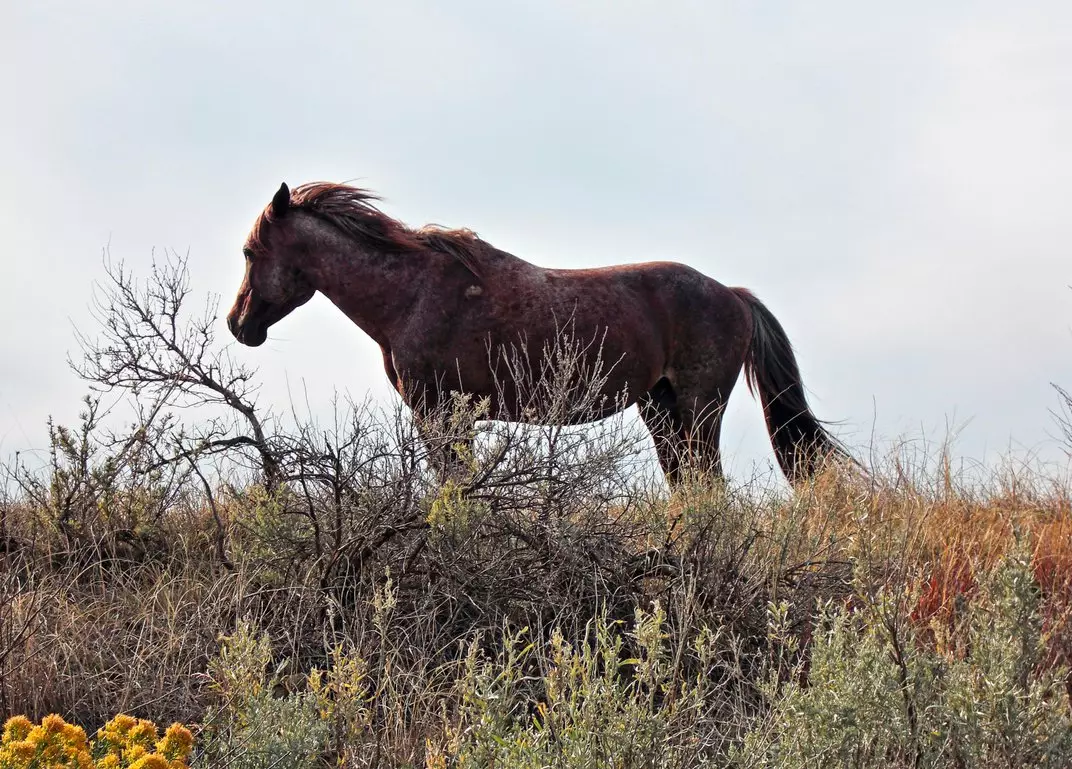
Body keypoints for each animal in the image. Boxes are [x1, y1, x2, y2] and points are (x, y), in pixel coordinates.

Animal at [226, 180, 844, 482]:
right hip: (661, 410)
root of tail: (733, 296)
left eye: (250, 252)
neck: (411, 292)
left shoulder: (440, 413)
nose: (238, 325)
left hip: (697, 410)